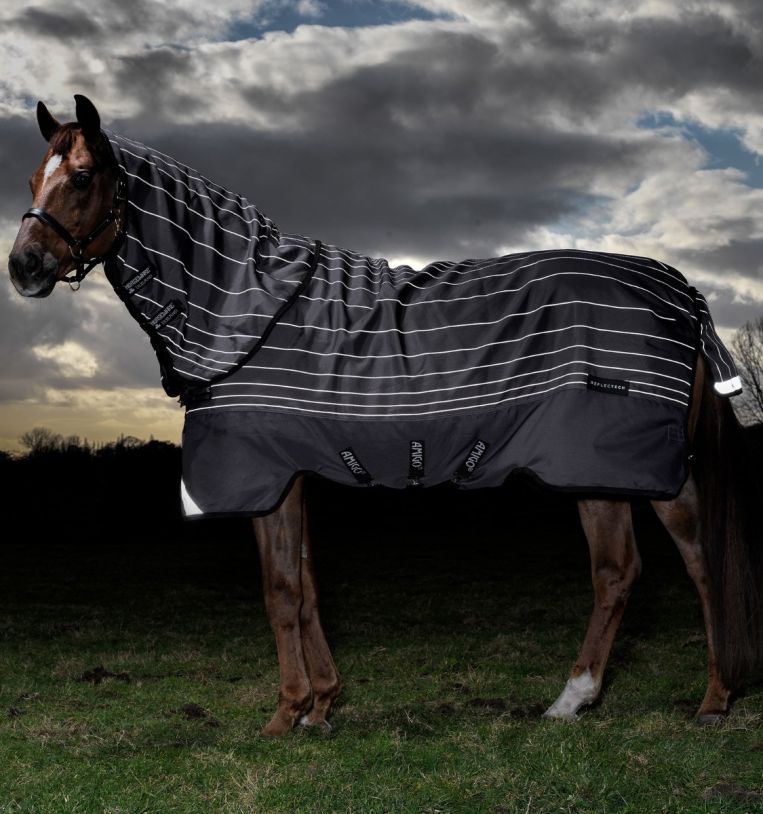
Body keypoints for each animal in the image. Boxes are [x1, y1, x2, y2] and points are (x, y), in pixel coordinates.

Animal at [8, 95, 762, 737]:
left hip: (627, 467)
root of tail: (681, 290)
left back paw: (700, 699)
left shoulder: (265, 478)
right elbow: (308, 586)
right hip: (603, 474)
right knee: (626, 573)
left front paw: (285, 714)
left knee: (689, 566)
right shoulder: (294, 476)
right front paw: (321, 706)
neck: (245, 304)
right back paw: (590, 700)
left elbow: (280, 589)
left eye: (81, 178)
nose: (24, 266)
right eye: (32, 179)